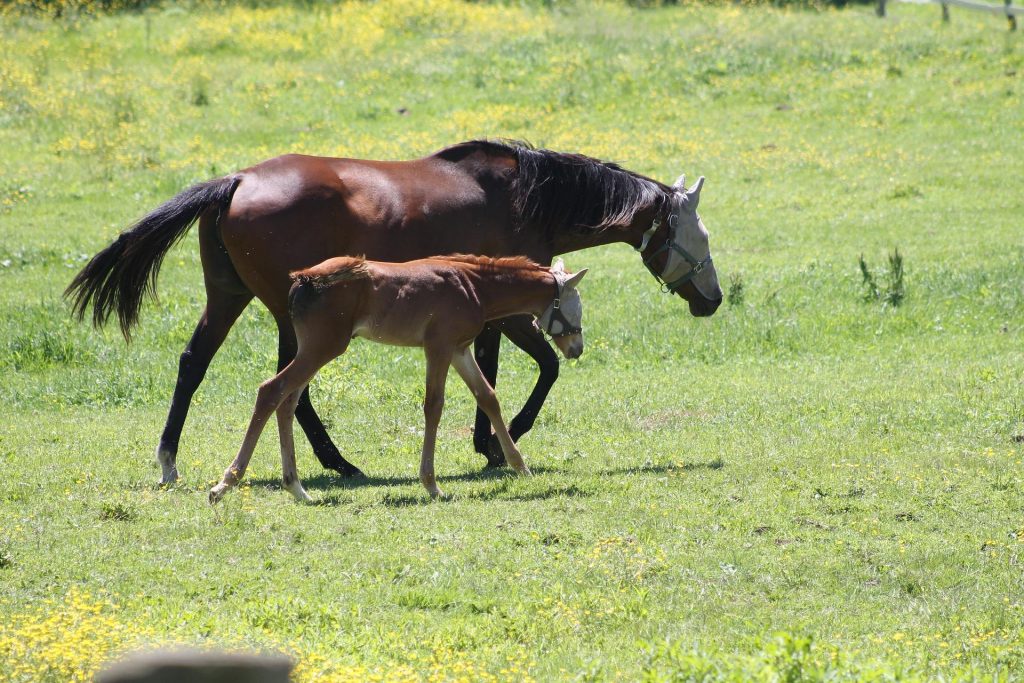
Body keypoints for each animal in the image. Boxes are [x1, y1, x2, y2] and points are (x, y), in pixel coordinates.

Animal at [207, 255, 588, 504]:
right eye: (576, 308)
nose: (577, 348)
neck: (473, 286)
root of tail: (304, 278)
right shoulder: (439, 347)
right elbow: (434, 406)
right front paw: (431, 484)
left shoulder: (460, 349)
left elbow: (488, 397)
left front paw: (520, 466)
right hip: (323, 347)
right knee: (271, 391)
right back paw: (226, 484)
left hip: (312, 349)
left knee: (288, 401)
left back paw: (297, 488)